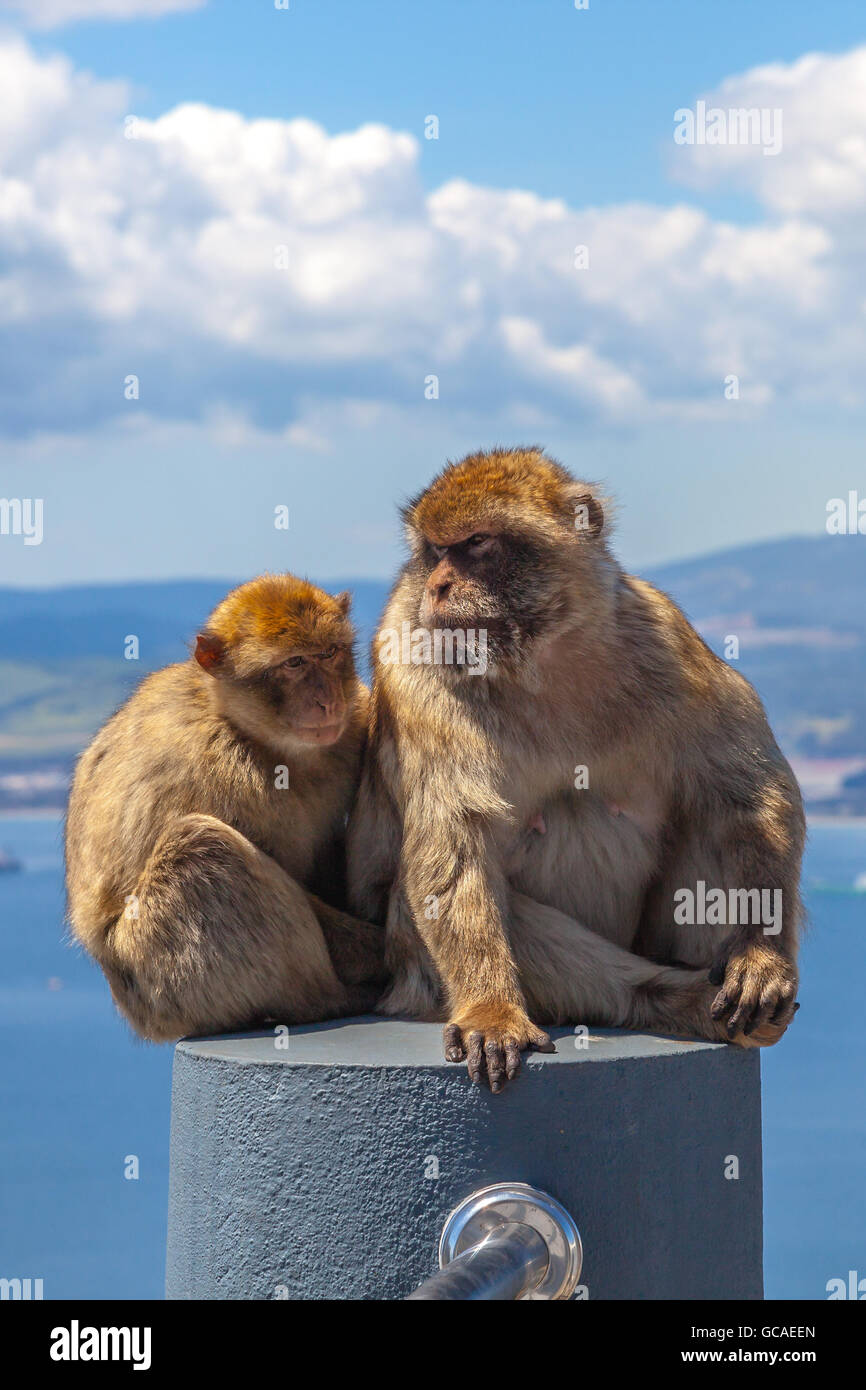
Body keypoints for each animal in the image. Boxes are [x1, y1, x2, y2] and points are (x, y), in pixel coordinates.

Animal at [65, 573, 386, 1042]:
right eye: (294, 664)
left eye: (329, 653)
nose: (328, 700)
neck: (253, 735)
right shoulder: (216, 773)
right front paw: (384, 949)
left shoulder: (354, 715)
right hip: (161, 980)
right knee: (199, 848)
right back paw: (327, 999)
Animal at [347, 447, 804, 1091]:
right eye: (435, 550)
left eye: (477, 543)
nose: (437, 585)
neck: (539, 658)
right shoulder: (415, 661)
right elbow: (455, 844)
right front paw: (491, 1010)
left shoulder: (663, 635)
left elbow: (747, 793)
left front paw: (761, 956)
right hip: (418, 977)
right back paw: (657, 998)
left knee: (716, 819)